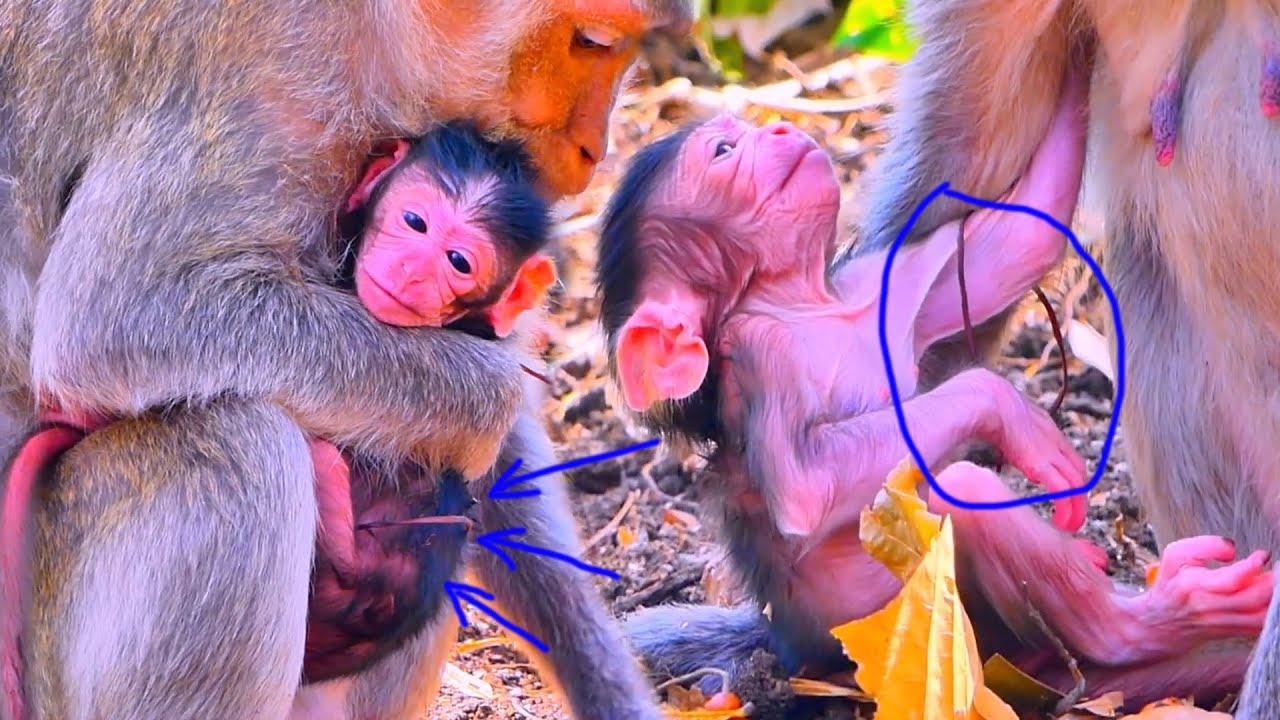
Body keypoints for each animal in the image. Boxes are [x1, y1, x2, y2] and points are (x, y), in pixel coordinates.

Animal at [0, 1, 694, 718]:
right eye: (592, 41)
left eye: (460, 260)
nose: (592, 150)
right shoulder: (257, 79)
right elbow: (113, 317)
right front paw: (486, 393)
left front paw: (607, 684)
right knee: (241, 446)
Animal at [595, 97, 1273, 713]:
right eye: (724, 151)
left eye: (746, 131)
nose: (781, 128)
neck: (808, 305)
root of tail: (792, 646)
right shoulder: (763, 353)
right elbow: (803, 491)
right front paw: (1009, 413)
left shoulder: (875, 283)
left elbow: (1018, 241)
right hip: (896, 617)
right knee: (964, 491)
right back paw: (1147, 621)